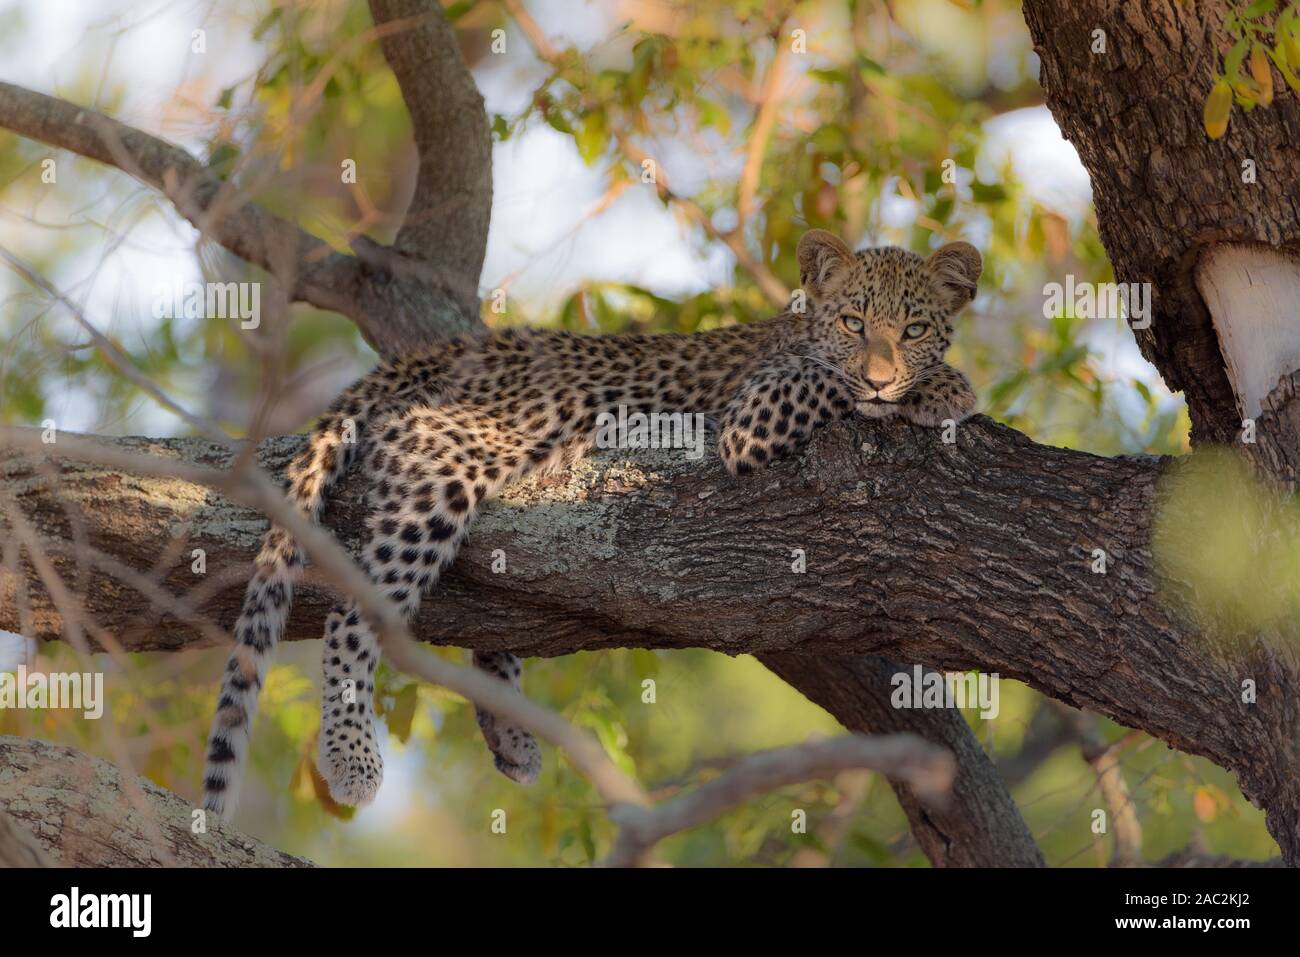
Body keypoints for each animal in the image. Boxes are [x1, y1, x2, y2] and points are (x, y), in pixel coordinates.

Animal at [201, 229, 982, 818]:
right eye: (854, 323)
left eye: (913, 328)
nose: (883, 374)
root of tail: (449, 350)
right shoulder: (755, 415)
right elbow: (829, 380)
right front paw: (944, 387)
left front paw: (927, 384)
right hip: (459, 449)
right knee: (353, 613)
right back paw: (351, 754)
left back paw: (511, 733)